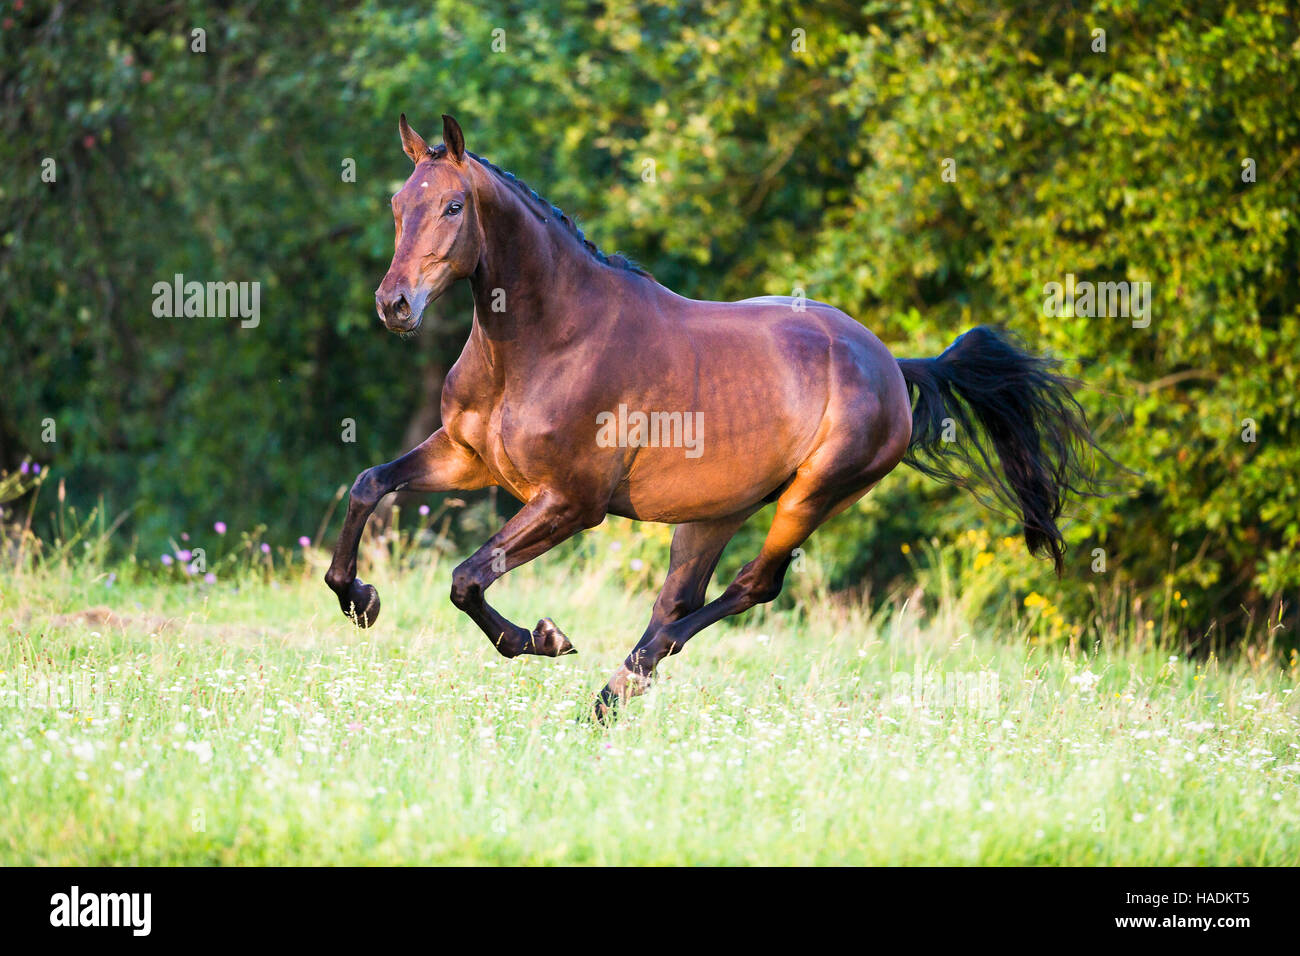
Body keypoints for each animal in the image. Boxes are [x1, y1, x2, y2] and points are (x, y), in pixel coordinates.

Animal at [324, 114, 1102, 720]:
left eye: (454, 207)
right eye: (399, 204)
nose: (394, 305)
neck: (547, 341)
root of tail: (890, 363)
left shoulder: (571, 502)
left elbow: (467, 576)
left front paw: (540, 638)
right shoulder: (466, 458)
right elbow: (369, 484)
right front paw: (360, 598)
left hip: (811, 496)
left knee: (748, 588)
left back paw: (613, 687)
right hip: (713, 512)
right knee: (680, 600)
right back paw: (612, 697)